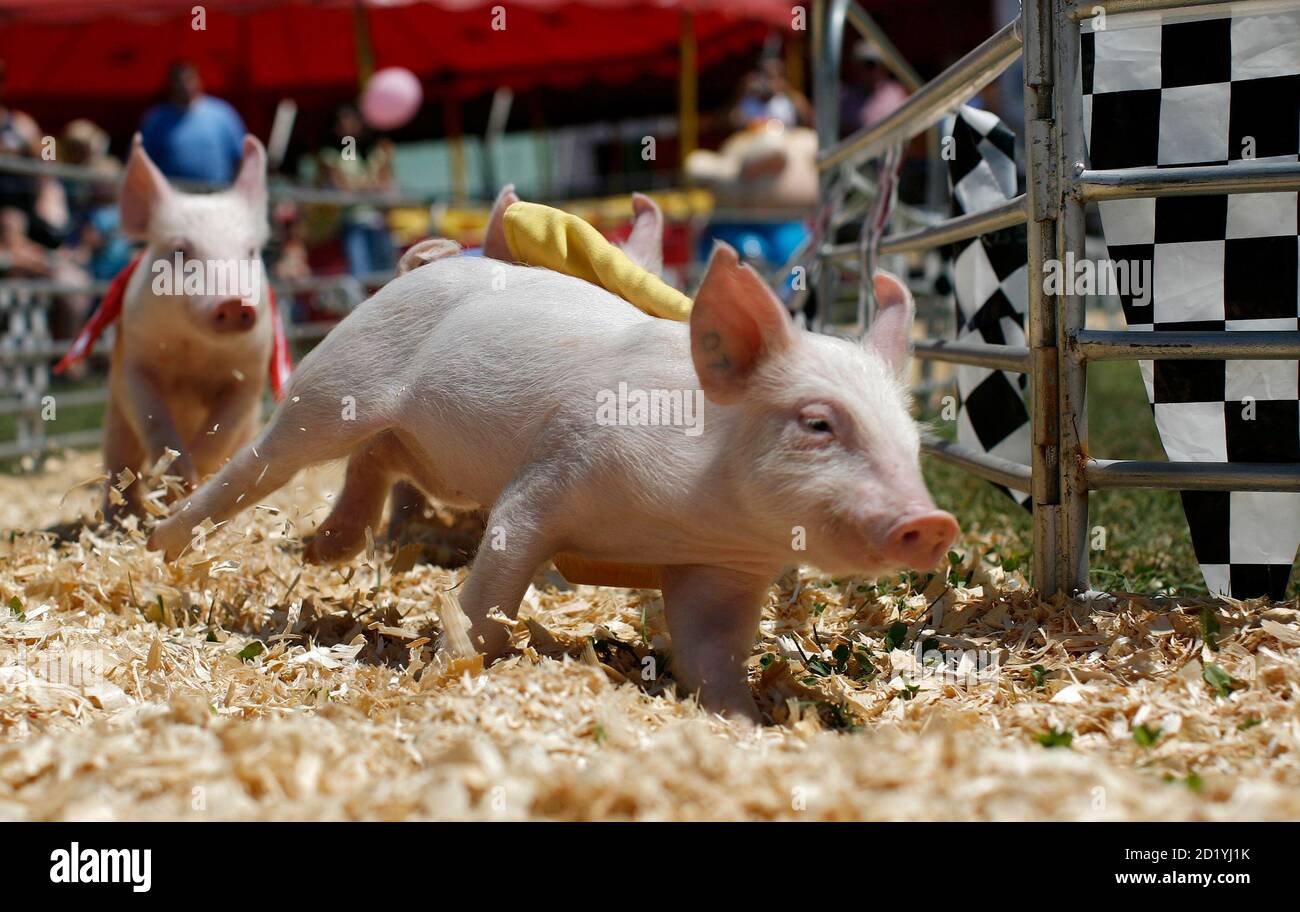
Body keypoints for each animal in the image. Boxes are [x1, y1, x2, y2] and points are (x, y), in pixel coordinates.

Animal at [102, 134, 272, 512]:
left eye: (251, 252)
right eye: (180, 250)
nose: (235, 303)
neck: (195, 353)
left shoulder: (251, 374)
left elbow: (222, 431)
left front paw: (193, 484)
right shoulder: (133, 360)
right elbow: (154, 418)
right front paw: (176, 480)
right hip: (116, 419)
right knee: (118, 462)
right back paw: (117, 513)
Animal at [148, 239, 957, 722]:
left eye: (913, 441)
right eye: (818, 423)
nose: (933, 522)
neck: (685, 518)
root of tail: (418, 270)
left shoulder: (720, 570)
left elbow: (712, 650)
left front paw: (743, 719)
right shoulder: (554, 476)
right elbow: (494, 584)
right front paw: (445, 673)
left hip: (434, 455)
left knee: (377, 458)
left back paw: (329, 551)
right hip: (334, 385)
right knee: (267, 462)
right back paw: (164, 546)